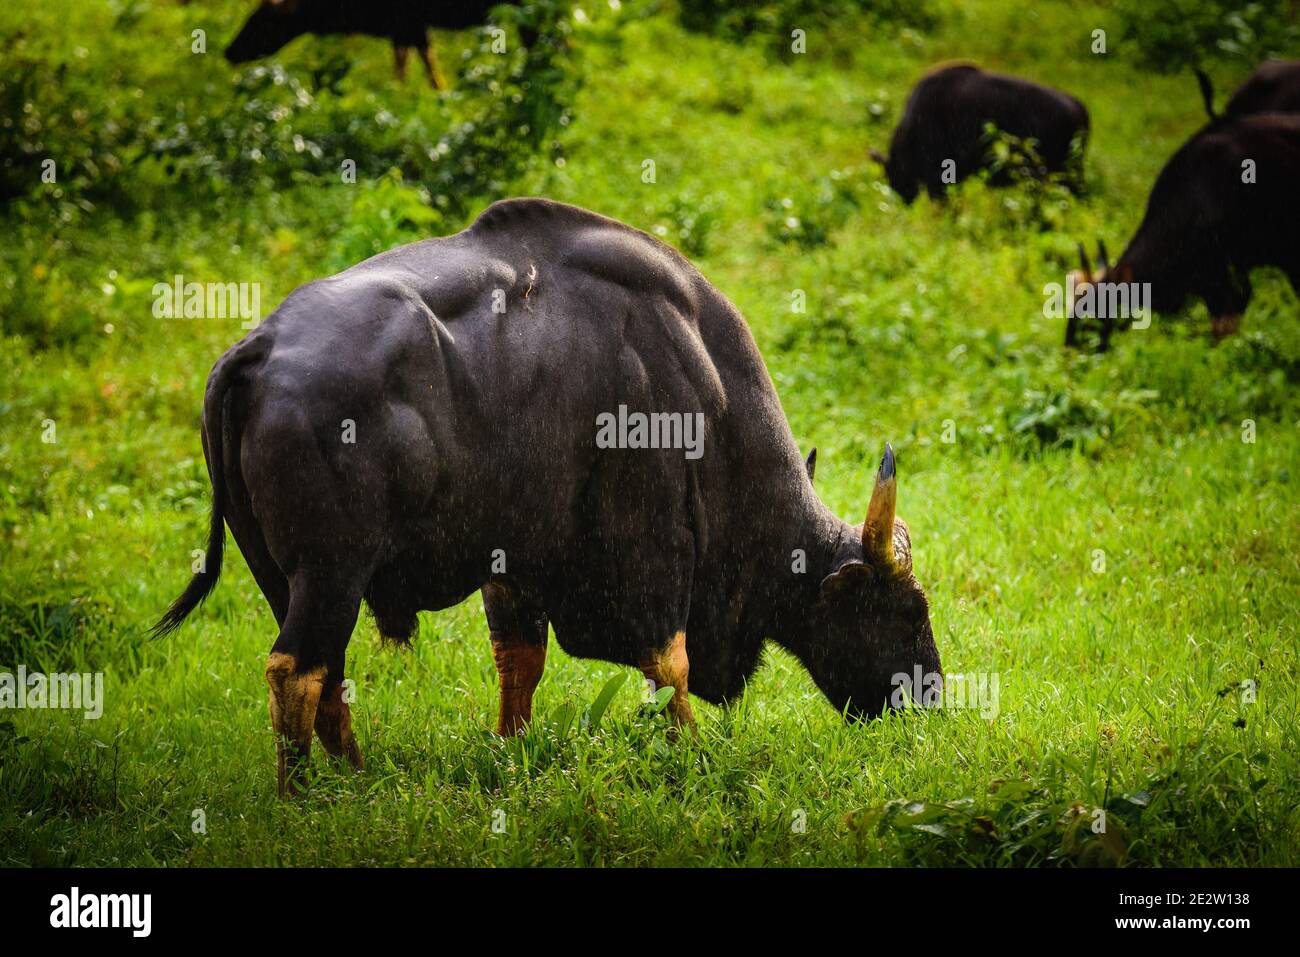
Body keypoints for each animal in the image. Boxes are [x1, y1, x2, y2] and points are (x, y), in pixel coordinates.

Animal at [153, 198, 944, 796]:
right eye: (910, 611)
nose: (932, 697)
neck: (704, 385)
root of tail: (256, 352)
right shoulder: (654, 554)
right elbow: (671, 664)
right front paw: (692, 756)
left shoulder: (516, 566)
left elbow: (519, 662)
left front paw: (511, 753)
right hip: (331, 569)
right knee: (295, 670)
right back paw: (301, 798)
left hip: (283, 578)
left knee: (326, 672)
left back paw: (355, 777)